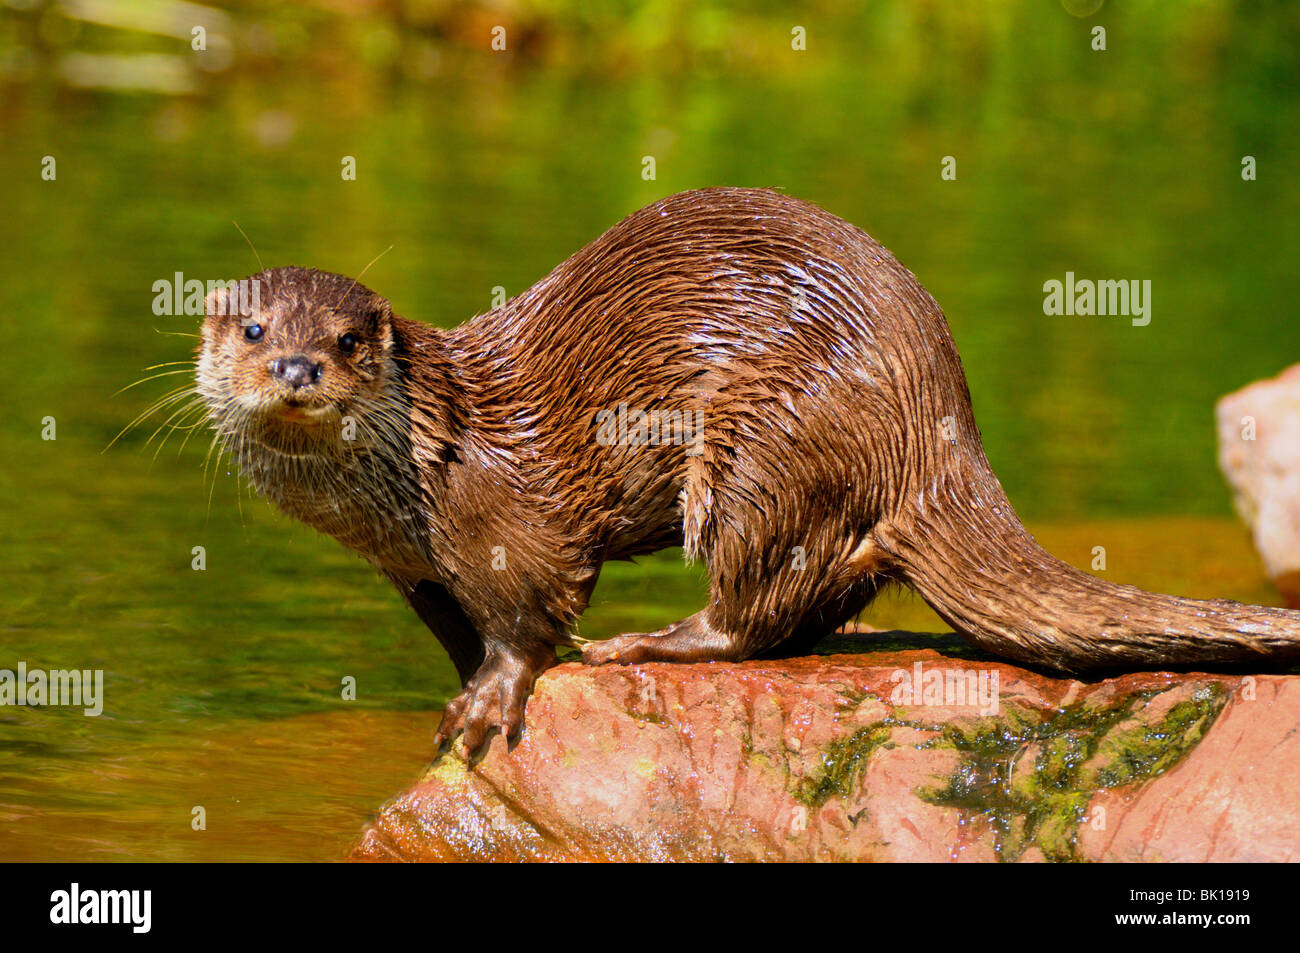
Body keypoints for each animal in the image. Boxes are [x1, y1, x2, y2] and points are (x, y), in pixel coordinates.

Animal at [195, 187, 1300, 752]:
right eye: (256, 329)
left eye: (345, 341)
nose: (297, 368)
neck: (406, 490)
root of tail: (935, 426)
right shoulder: (414, 566)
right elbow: (457, 628)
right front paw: (466, 680)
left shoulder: (503, 522)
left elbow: (528, 613)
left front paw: (490, 699)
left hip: (762, 446)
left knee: (753, 609)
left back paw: (649, 642)